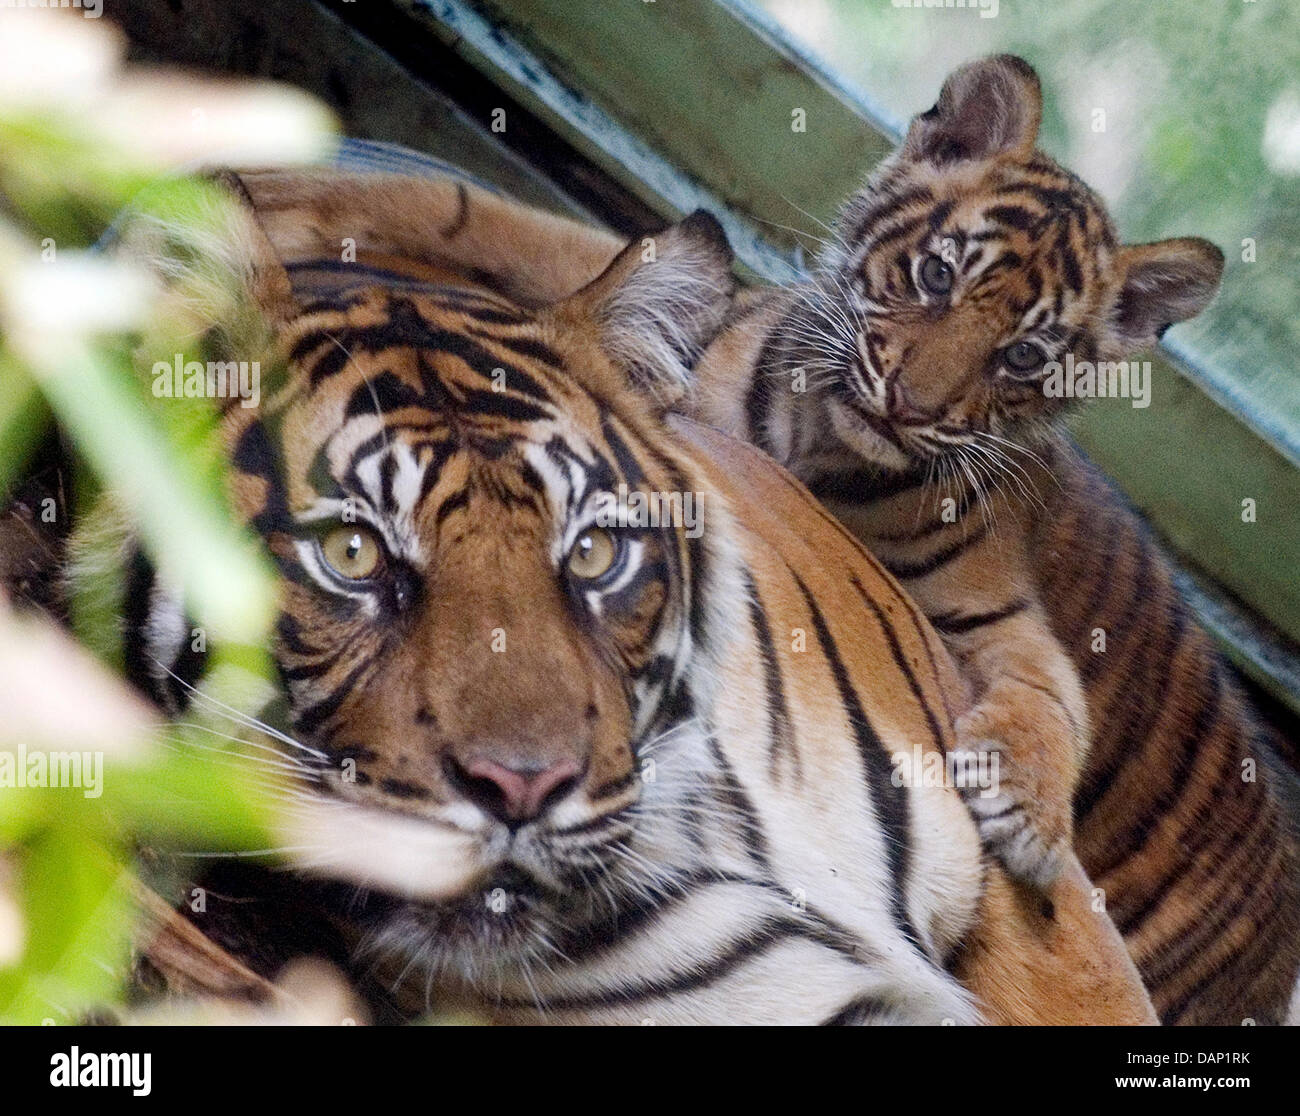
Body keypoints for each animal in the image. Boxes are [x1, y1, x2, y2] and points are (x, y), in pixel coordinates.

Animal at [212, 57, 1300, 1025]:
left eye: (1024, 356)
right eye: (936, 273)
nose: (912, 405)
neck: (802, 431)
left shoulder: (994, 621)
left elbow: (1045, 700)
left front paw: (1022, 814)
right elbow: (489, 218)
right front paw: (280, 192)